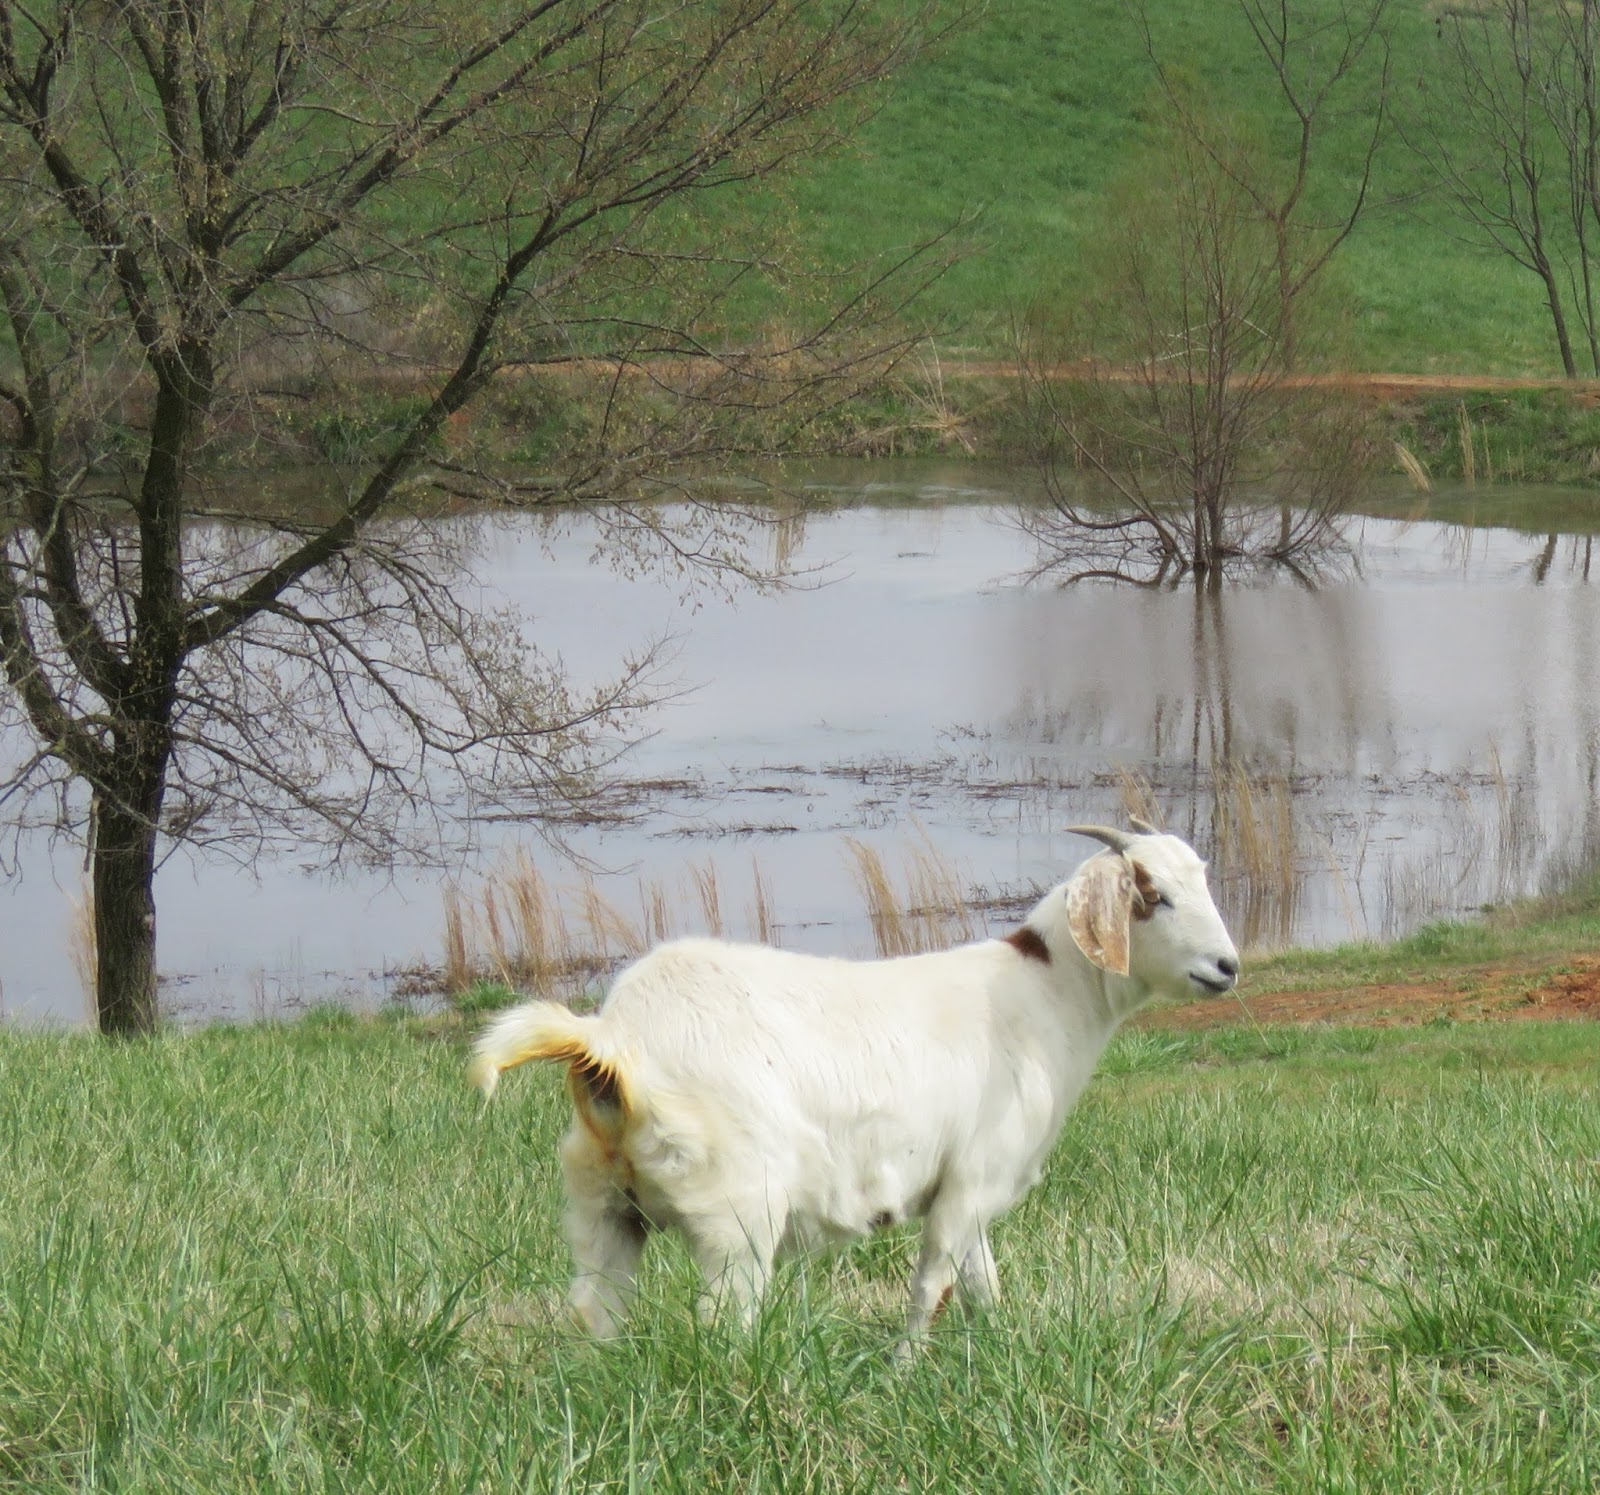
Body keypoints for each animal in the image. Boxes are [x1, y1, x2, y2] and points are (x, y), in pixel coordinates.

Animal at [470, 824, 1239, 1343]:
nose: (1227, 967)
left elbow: (982, 1283)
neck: (1043, 994)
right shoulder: (973, 1178)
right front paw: (905, 1372)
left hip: (601, 1202)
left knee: (596, 1309)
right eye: (1152, 896)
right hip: (734, 1210)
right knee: (724, 1319)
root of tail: (615, 1038)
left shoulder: (970, 1183)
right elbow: (933, 1286)